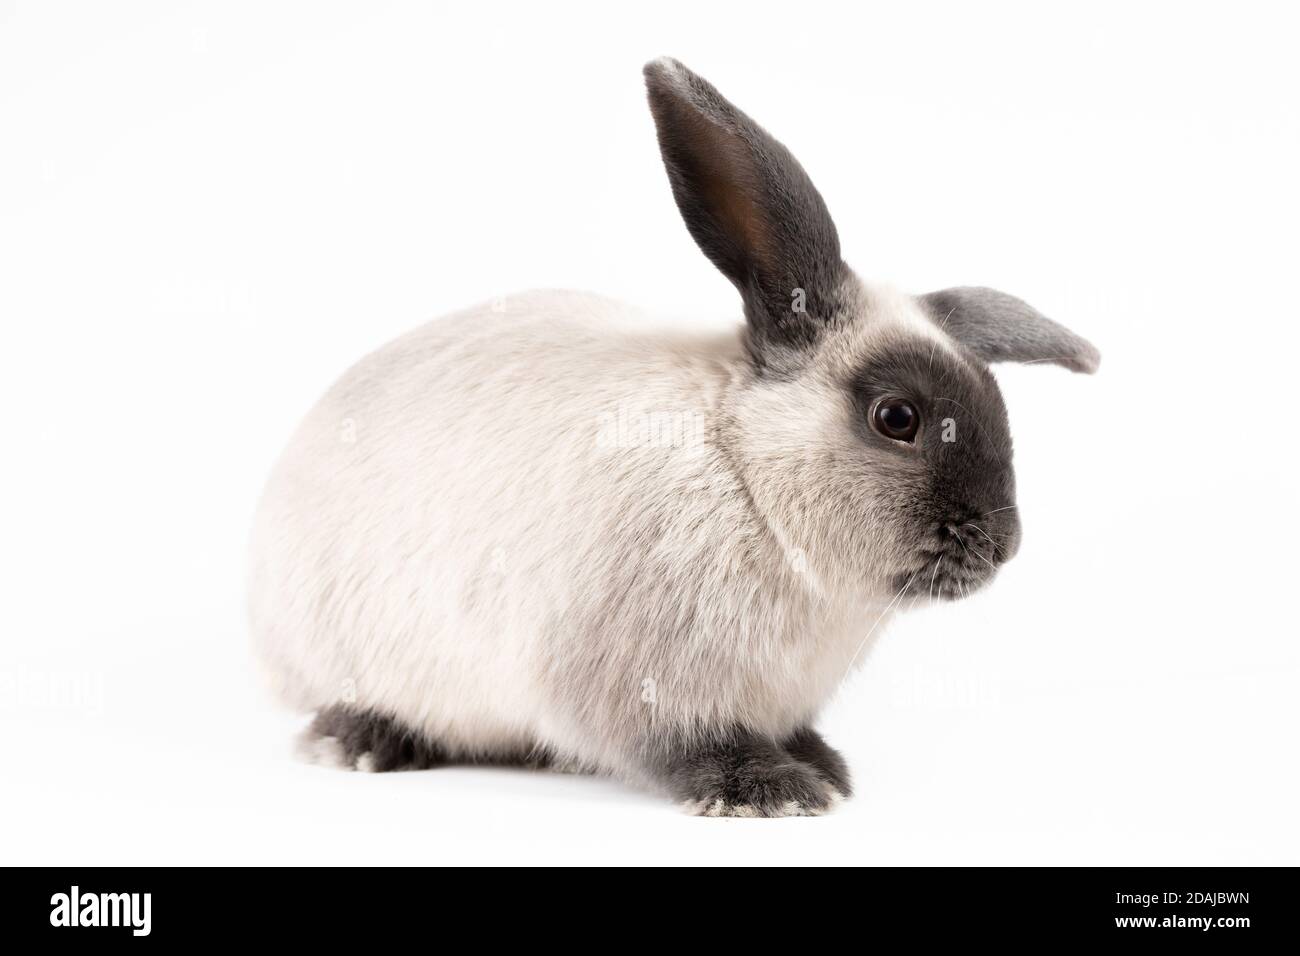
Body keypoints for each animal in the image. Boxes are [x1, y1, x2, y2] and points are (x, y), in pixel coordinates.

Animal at [248, 57, 1099, 817]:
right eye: (897, 418)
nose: (1004, 544)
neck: (748, 478)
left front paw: (824, 765)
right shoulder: (632, 681)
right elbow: (682, 745)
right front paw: (773, 791)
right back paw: (362, 742)